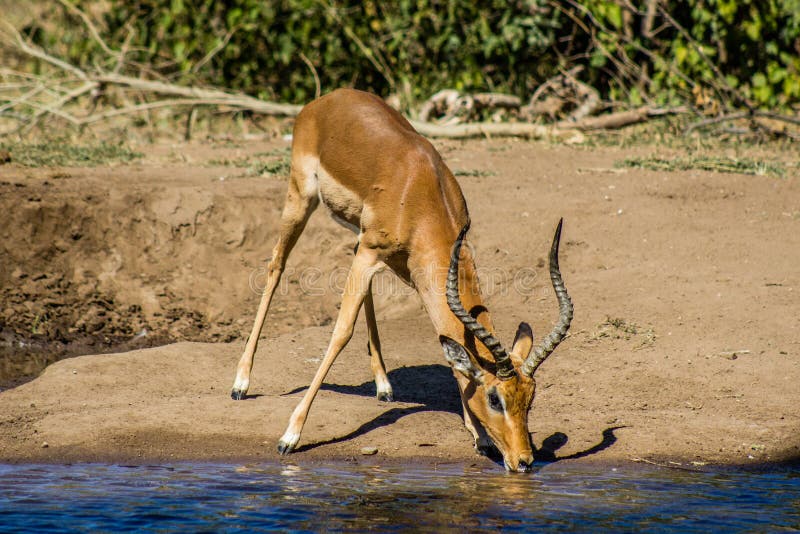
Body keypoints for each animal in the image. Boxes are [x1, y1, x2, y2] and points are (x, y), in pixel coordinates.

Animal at [230, 88, 573, 472]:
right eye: (495, 398)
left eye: (530, 398)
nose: (524, 461)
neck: (421, 193)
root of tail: (324, 100)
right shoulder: (370, 252)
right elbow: (341, 332)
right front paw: (290, 435)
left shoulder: (403, 266)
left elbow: (450, 350)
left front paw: (479, 436)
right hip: (301, 200)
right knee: (277, 264)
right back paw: (241, 383)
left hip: (358, 238)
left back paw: (383, 386)